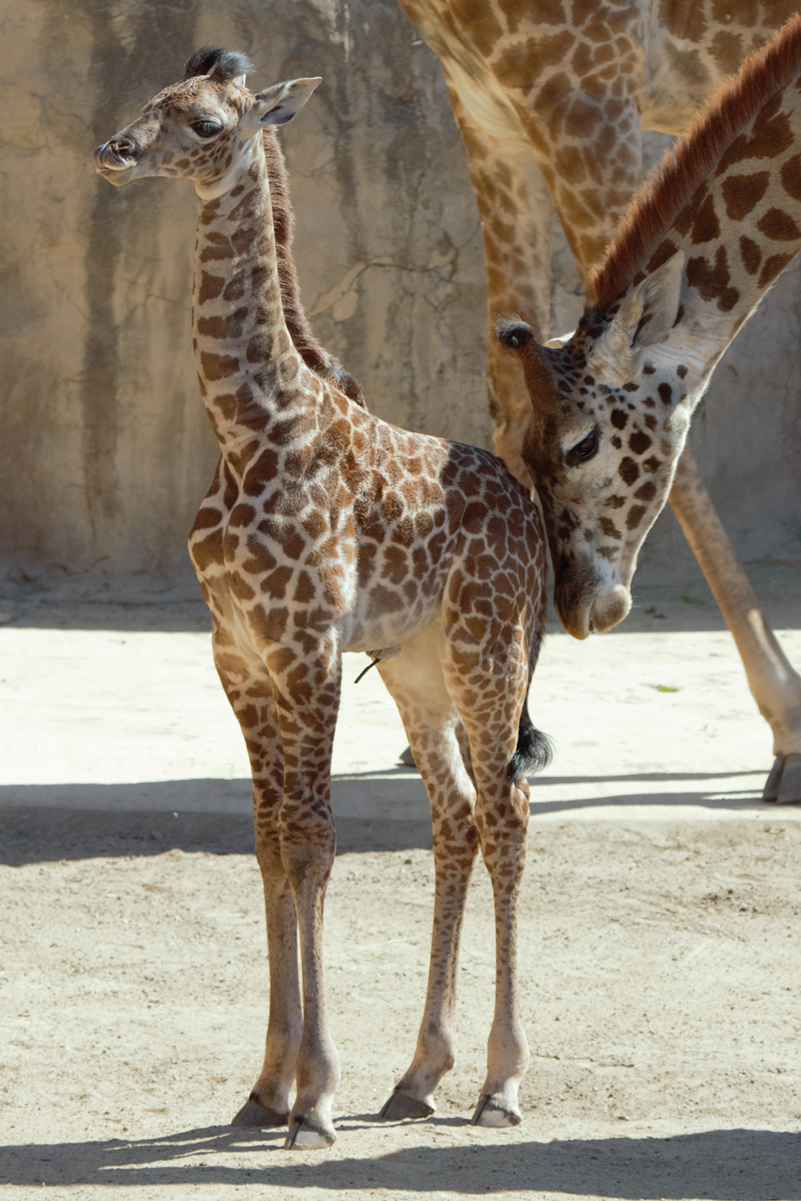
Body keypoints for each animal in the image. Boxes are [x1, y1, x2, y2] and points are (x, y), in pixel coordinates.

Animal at [94, 48, 551, 1148]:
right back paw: (419, 1073)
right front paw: (266, 1086)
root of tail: (534, 523)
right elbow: (269, 845)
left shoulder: (305, 648)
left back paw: (500, 1083)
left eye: (208, 124)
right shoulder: (237, 652)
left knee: (509, 809)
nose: (114, 152)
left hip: (488, 651)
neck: (247, 428)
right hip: (420, 670)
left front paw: (315, 1095)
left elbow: (315, 845)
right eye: (155, 101)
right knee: (457, 816)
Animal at [396, 0, 801, 801]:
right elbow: (504, 390)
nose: (582, 607)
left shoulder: (582, 91)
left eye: (584, 443)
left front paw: (791, 726)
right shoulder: (486, 106)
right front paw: (499, 729)